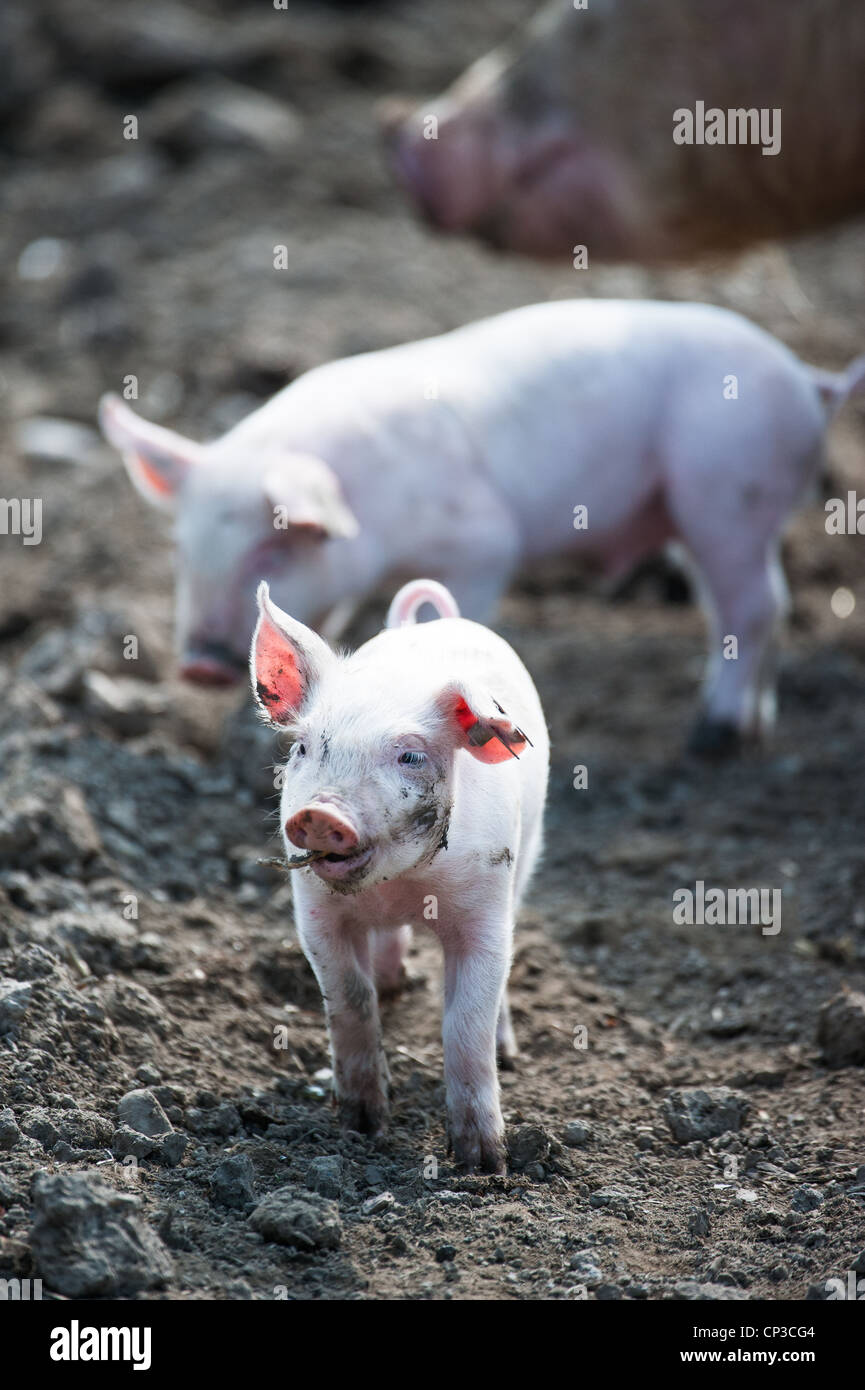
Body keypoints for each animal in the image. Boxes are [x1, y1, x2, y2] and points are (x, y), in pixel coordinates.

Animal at [99, 298, 865, 753]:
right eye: (182, 551)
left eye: (269, 548)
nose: (197, 663)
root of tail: (810, 381)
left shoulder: (482, 544)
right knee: (742, 606)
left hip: (728, 489)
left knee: (758, 603)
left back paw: (713, 739)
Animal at [250, 576, 549, 1173]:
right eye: (302, 748)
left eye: (410, 756)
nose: (321, 813)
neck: (401, 886)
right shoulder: (314, 913)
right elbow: (349, 997)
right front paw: (363, 1127)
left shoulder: (485, 904)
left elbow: (466, 1022)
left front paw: (485, 1164)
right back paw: (393, 983)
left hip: (527, 857)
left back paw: (507, 1051)